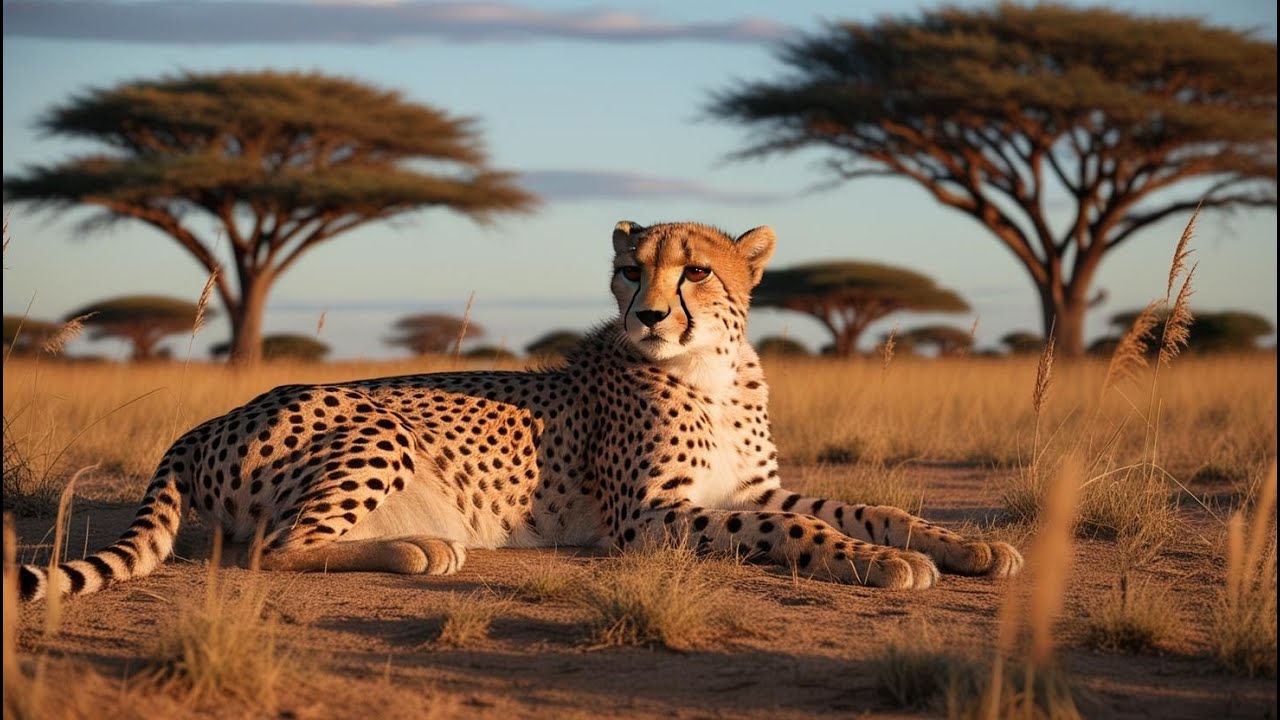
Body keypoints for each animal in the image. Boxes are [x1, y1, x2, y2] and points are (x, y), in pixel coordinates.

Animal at [18, 220, 1022, 601]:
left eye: (696, 269)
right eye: (629, 270)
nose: (648, 314)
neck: (711, 365)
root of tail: (197, 427)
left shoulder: (749, 490)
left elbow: (864, 506)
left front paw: (965, 546)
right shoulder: (652, 519)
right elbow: (805, 533)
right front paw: (886, 565)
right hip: (372, 425)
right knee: (271, 549)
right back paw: (422, 549)